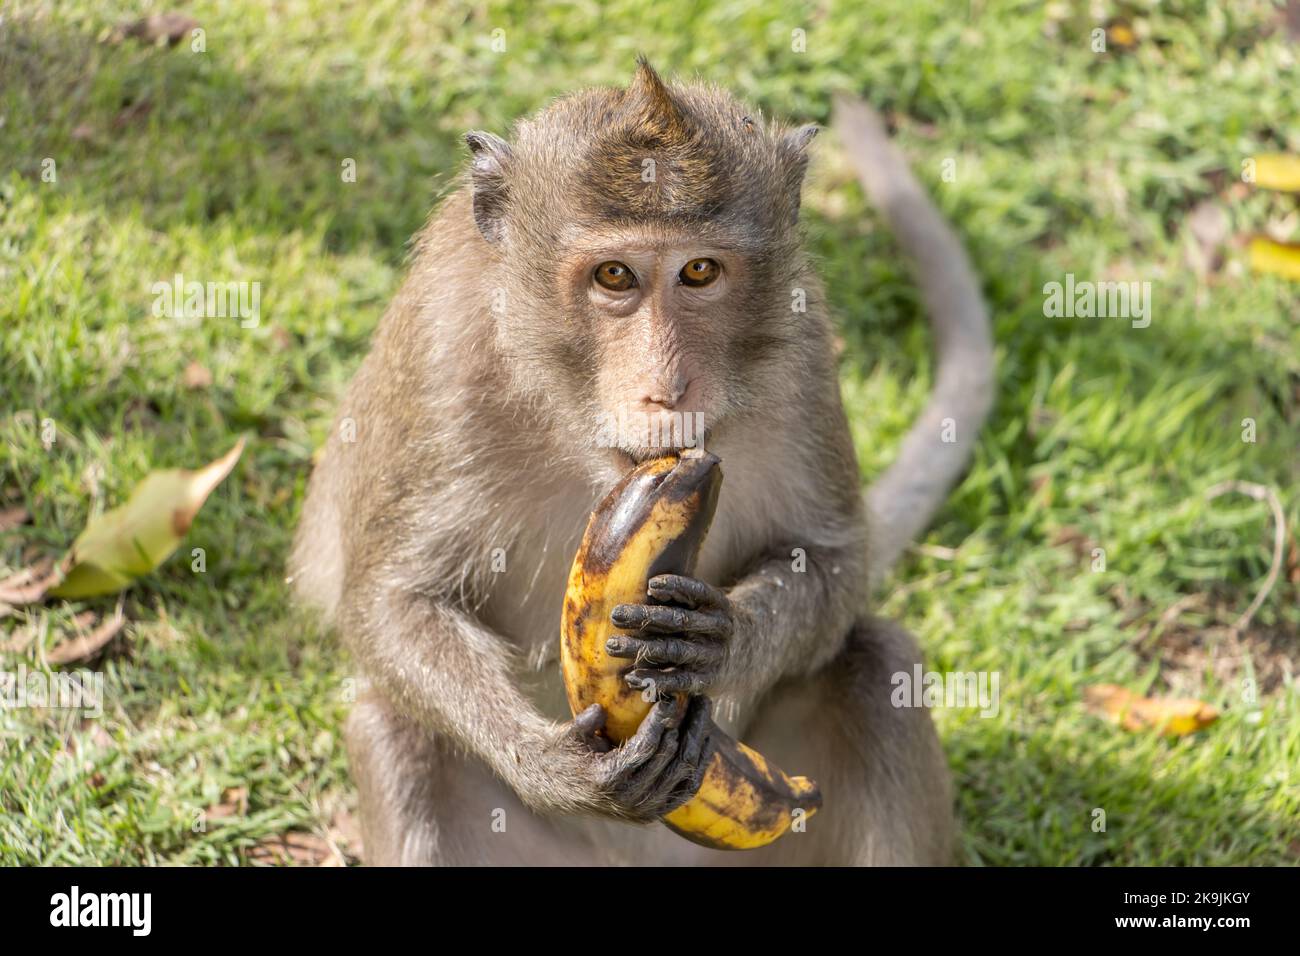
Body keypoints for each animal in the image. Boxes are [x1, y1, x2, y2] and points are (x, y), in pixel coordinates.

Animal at [289, 59, 993, 865]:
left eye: (700, 270)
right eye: (615, 277)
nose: (666, 388)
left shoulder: (804, 339)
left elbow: (833, 559)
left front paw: (721, 640)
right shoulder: (442, 346)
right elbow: (391, 602)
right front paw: (549, 763)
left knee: (879, 666)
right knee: (392, 727)